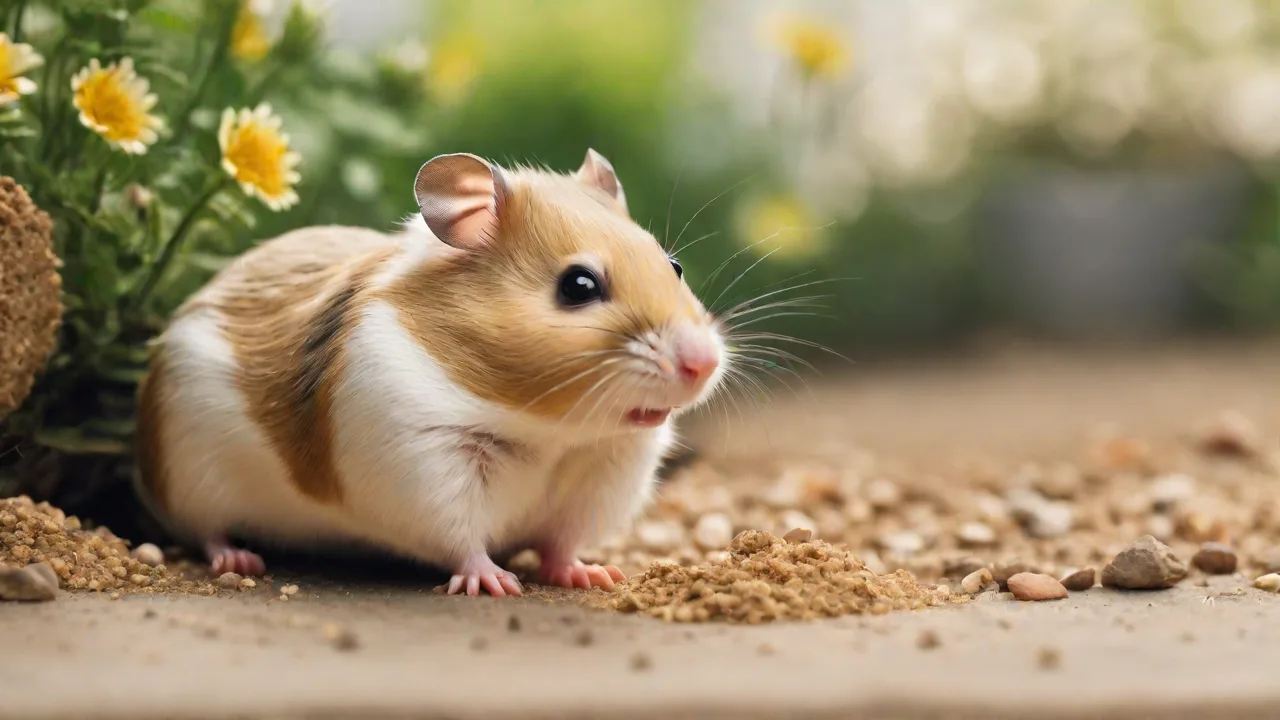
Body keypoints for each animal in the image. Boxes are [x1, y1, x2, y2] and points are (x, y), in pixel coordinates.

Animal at [134, 149, 727, 596]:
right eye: (578, 286)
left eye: (674, 266)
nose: (704, 363)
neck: (549, 433)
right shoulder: (424, 467)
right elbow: (463, 543)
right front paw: (496, 584)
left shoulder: (597, 481)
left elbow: (560, 546)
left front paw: (595, 575)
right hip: (191, 476)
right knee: (204, 532)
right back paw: (239, 561)